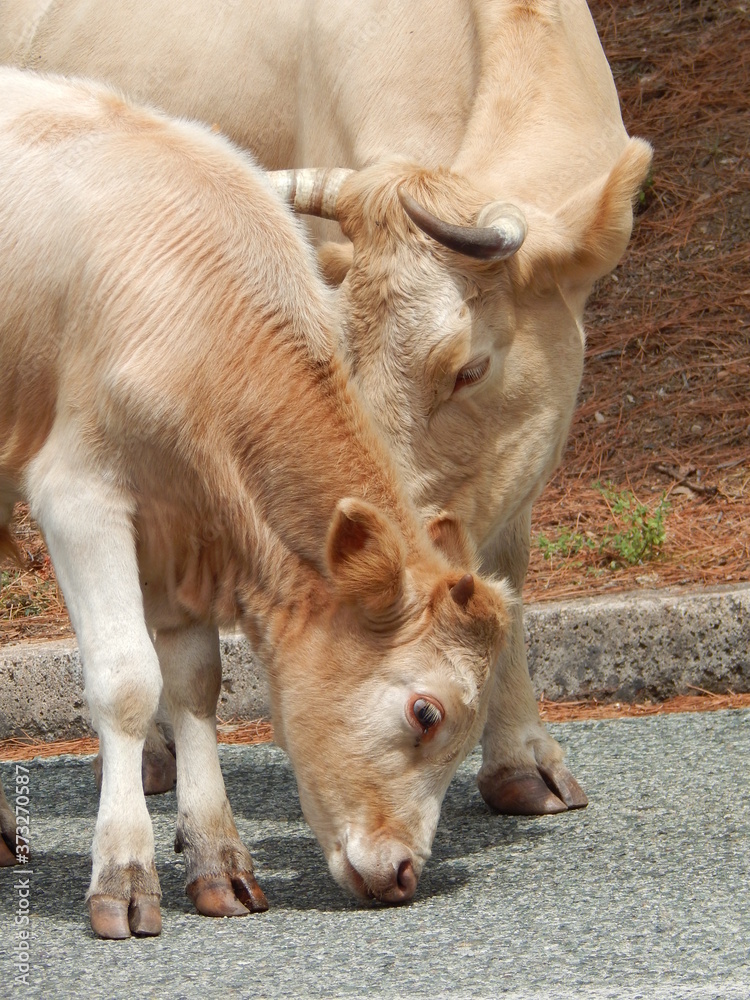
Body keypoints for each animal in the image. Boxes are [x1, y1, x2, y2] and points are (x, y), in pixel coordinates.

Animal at [0, 69, 513, 937]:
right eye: (426, 712)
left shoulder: (180, 524)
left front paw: (219, 862)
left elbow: (194, 683)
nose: (404, 873)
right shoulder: (80, 493)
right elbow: (128, 682)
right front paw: (125, 874)